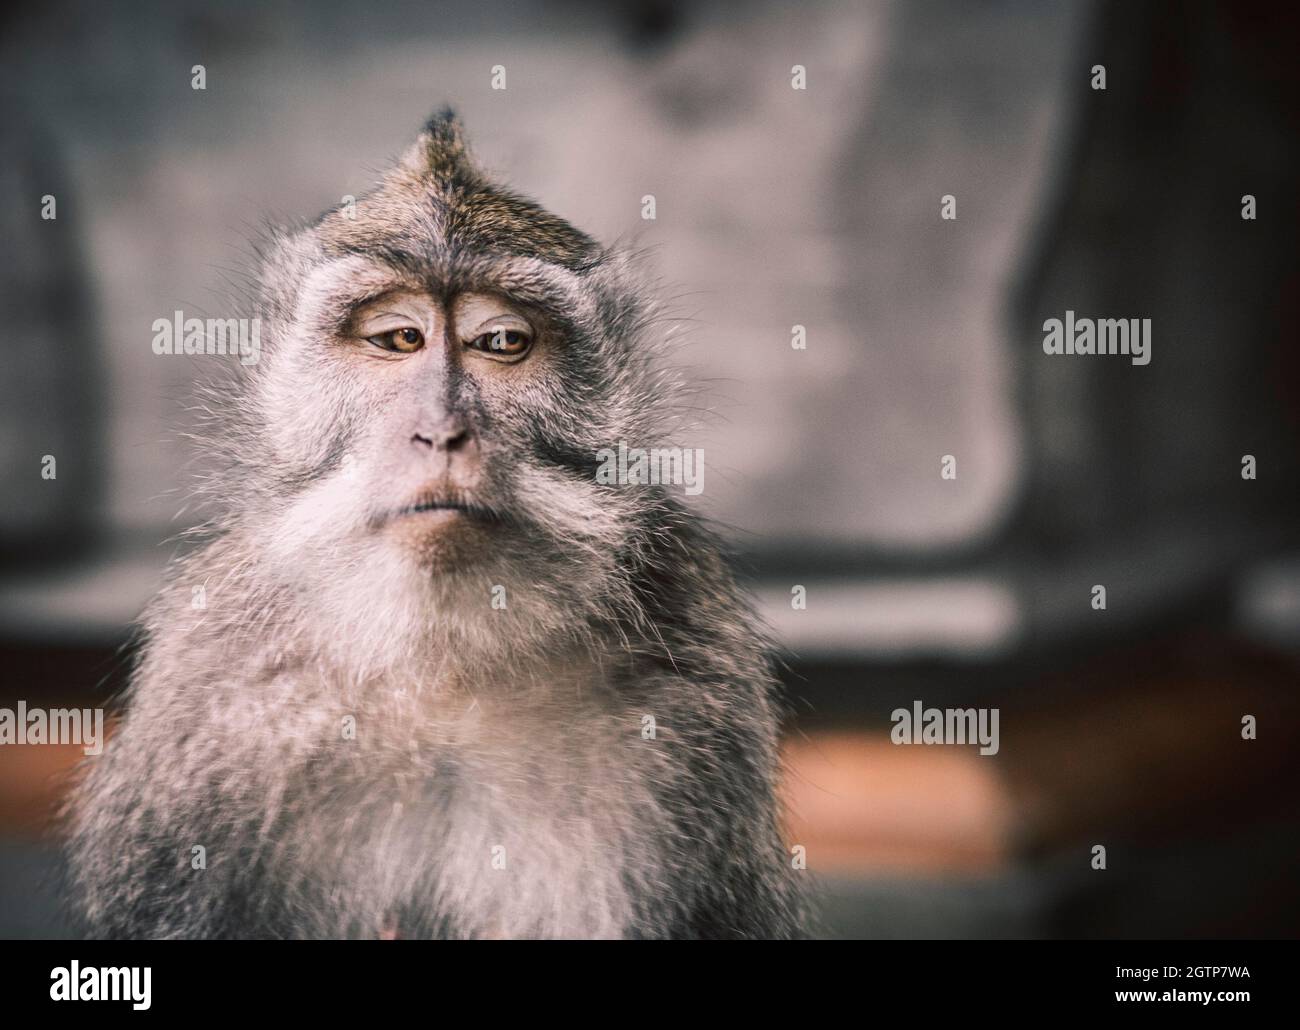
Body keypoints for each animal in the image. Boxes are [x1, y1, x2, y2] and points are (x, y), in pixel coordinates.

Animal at [64, 108, 805, 940]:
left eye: (502, 343)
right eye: (399, 339)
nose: (442, 431)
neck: (444, 666)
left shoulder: (696, 684)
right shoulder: (210, 689)